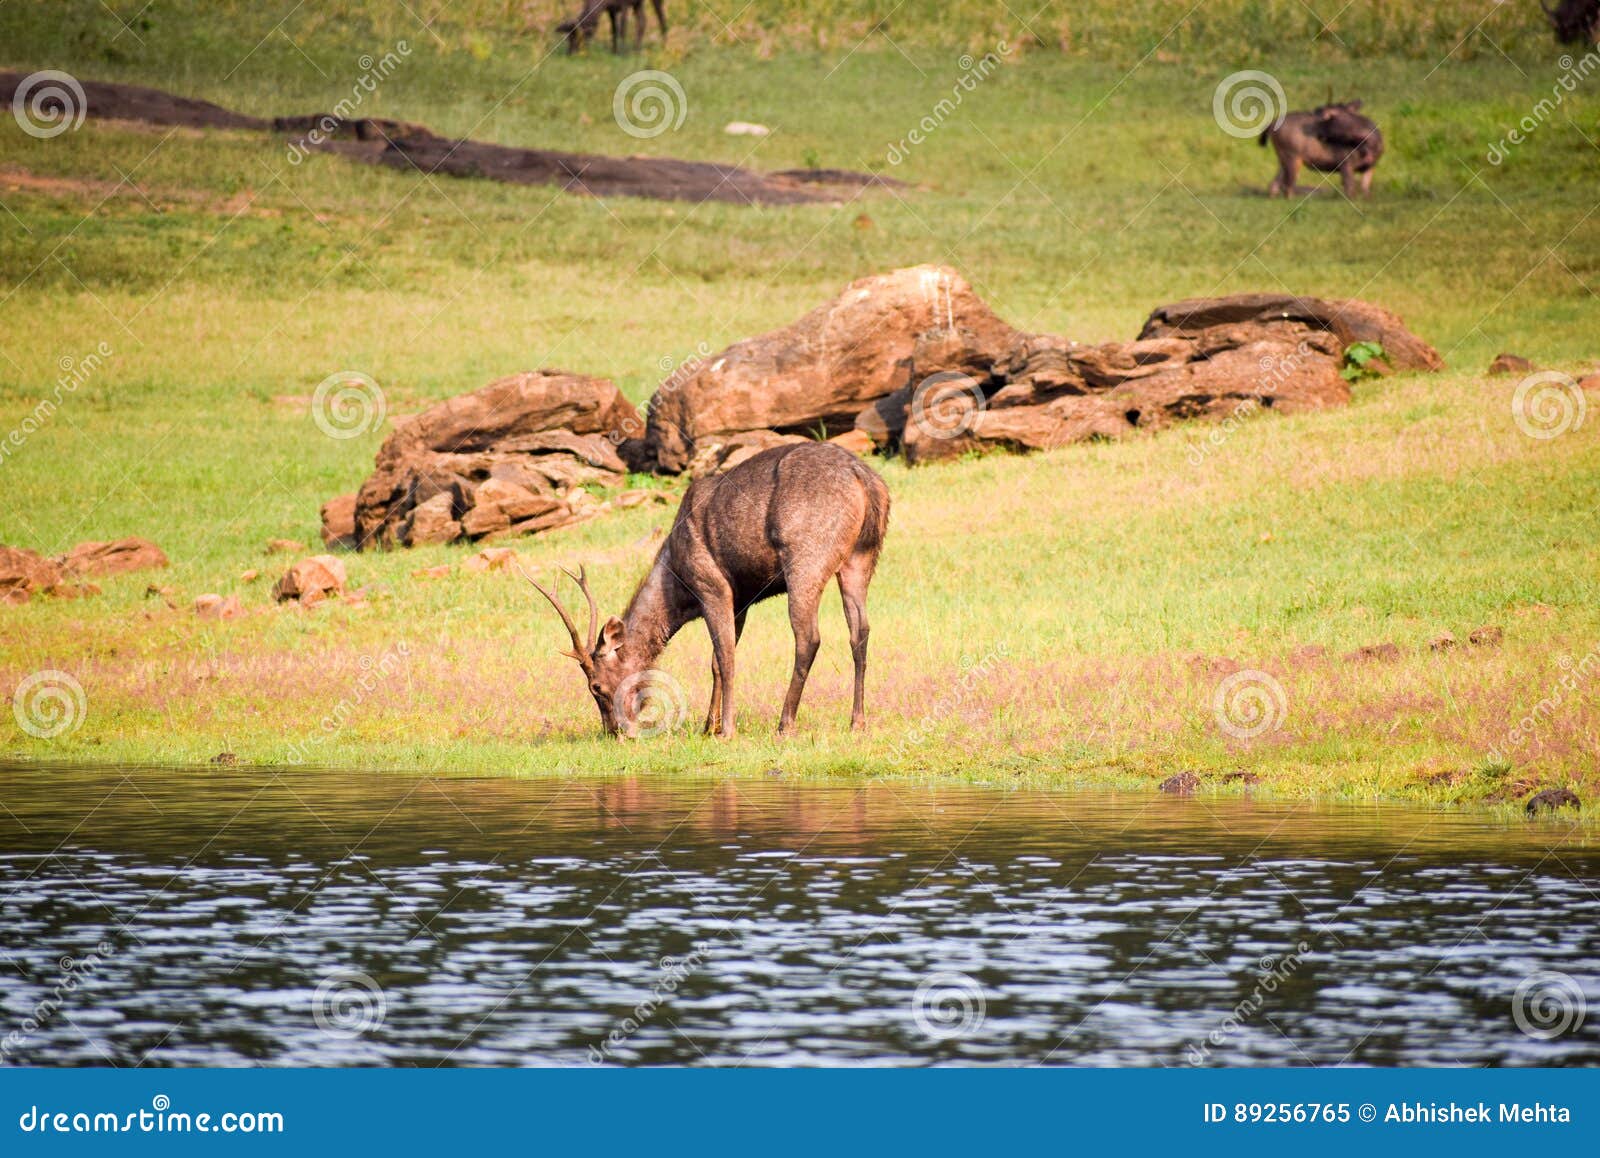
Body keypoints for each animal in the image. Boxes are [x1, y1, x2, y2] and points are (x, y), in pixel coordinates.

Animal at [524, 442, 889, 739]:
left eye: (596, 686)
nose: (613, 732)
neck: (679, 591)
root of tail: (866, 480)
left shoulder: (712, 585)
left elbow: (725, 657)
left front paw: (726, 729)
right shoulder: (742, 599)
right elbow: (715, 661)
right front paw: (707, 726)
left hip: (806, 556)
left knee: (809, 637)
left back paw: (785, 723)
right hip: (861, 555)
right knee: (860, 631)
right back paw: (857, 721)